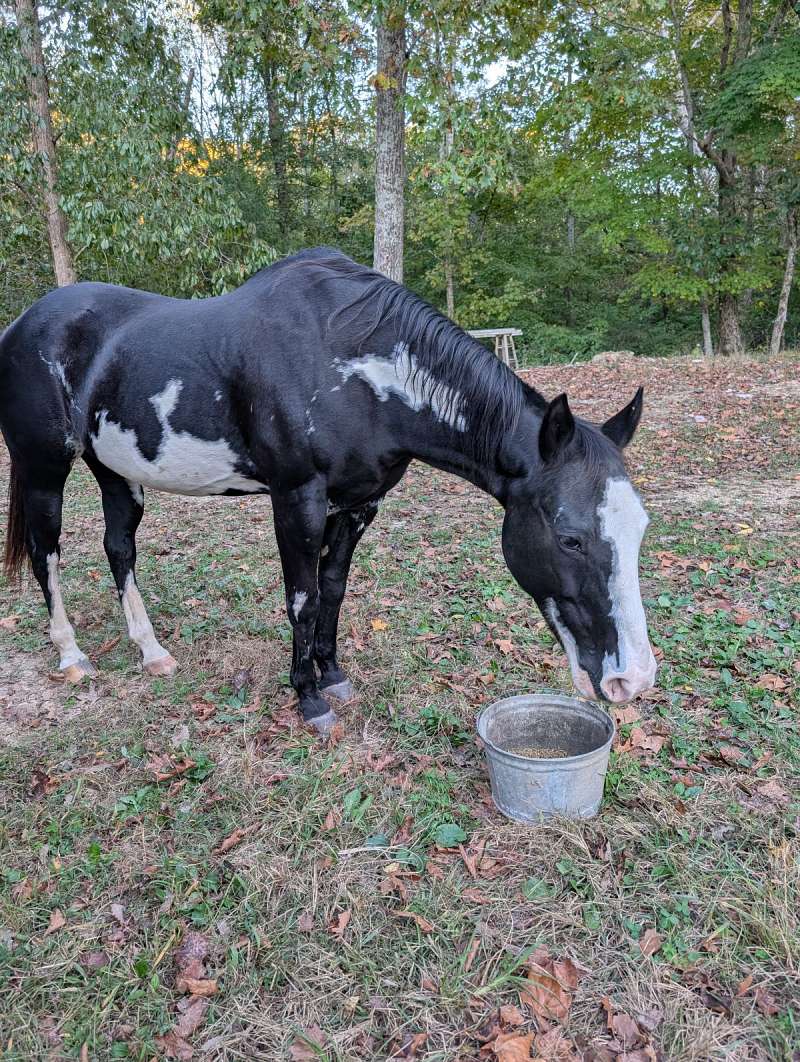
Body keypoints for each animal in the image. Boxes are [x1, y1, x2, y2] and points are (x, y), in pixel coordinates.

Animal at [0, 247, 657, 734]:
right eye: (569, 538)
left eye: (641, 529)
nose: (633, 680)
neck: (349, 362)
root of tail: (22, 325)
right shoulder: (297, 499)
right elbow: (304, 596)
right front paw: (308, 699)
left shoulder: (360, 503)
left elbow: (334, 590)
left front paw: (332, 674)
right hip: (44, 469)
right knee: (47, 553)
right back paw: (72, 656)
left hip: (115, 469)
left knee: (120, 549)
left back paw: (151, 650)